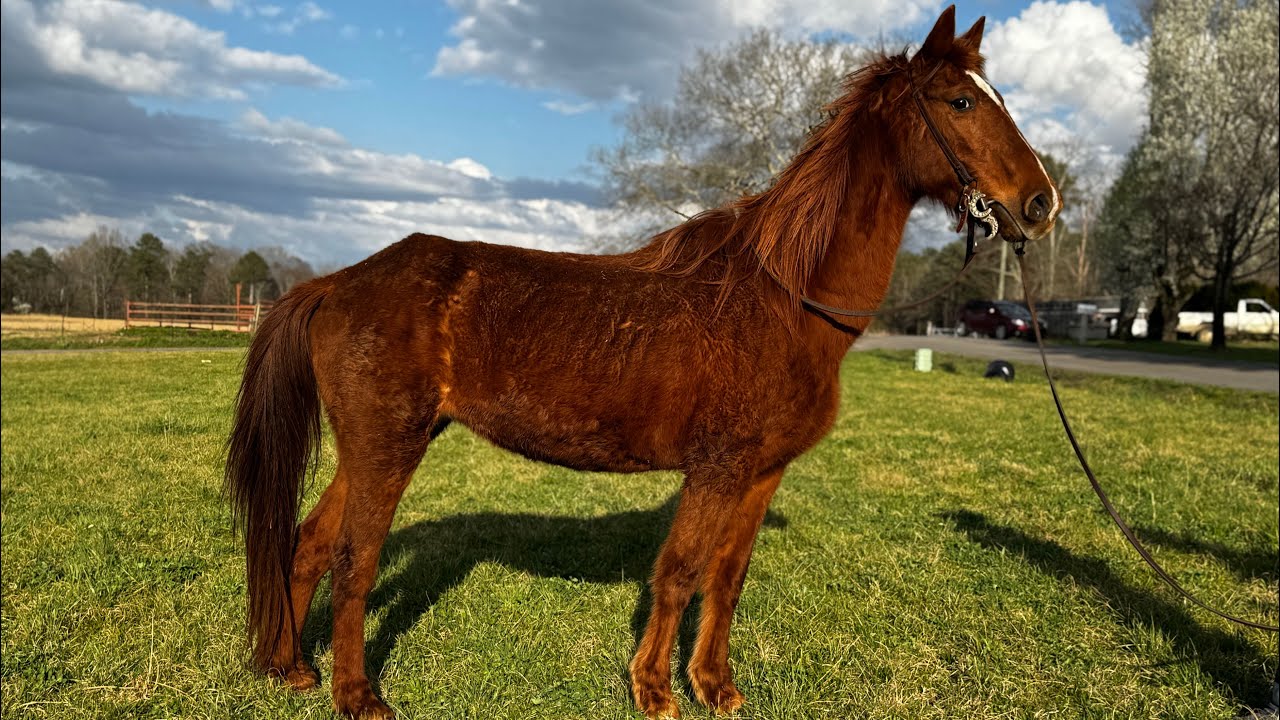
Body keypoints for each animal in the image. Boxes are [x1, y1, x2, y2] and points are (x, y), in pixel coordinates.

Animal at [226, 6, 1061, 718]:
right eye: (960, 101)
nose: (1041, 203)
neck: (783, 298)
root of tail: (337, 282)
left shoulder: (762, 471)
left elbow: (726, 577)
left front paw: (716, 686)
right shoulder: (717, 467)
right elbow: (680, 572)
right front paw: (655, 690)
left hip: (382, 443)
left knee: (309, 544)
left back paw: (290, 668)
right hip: (387, 446)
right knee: (354, 558)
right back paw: (356, 694)